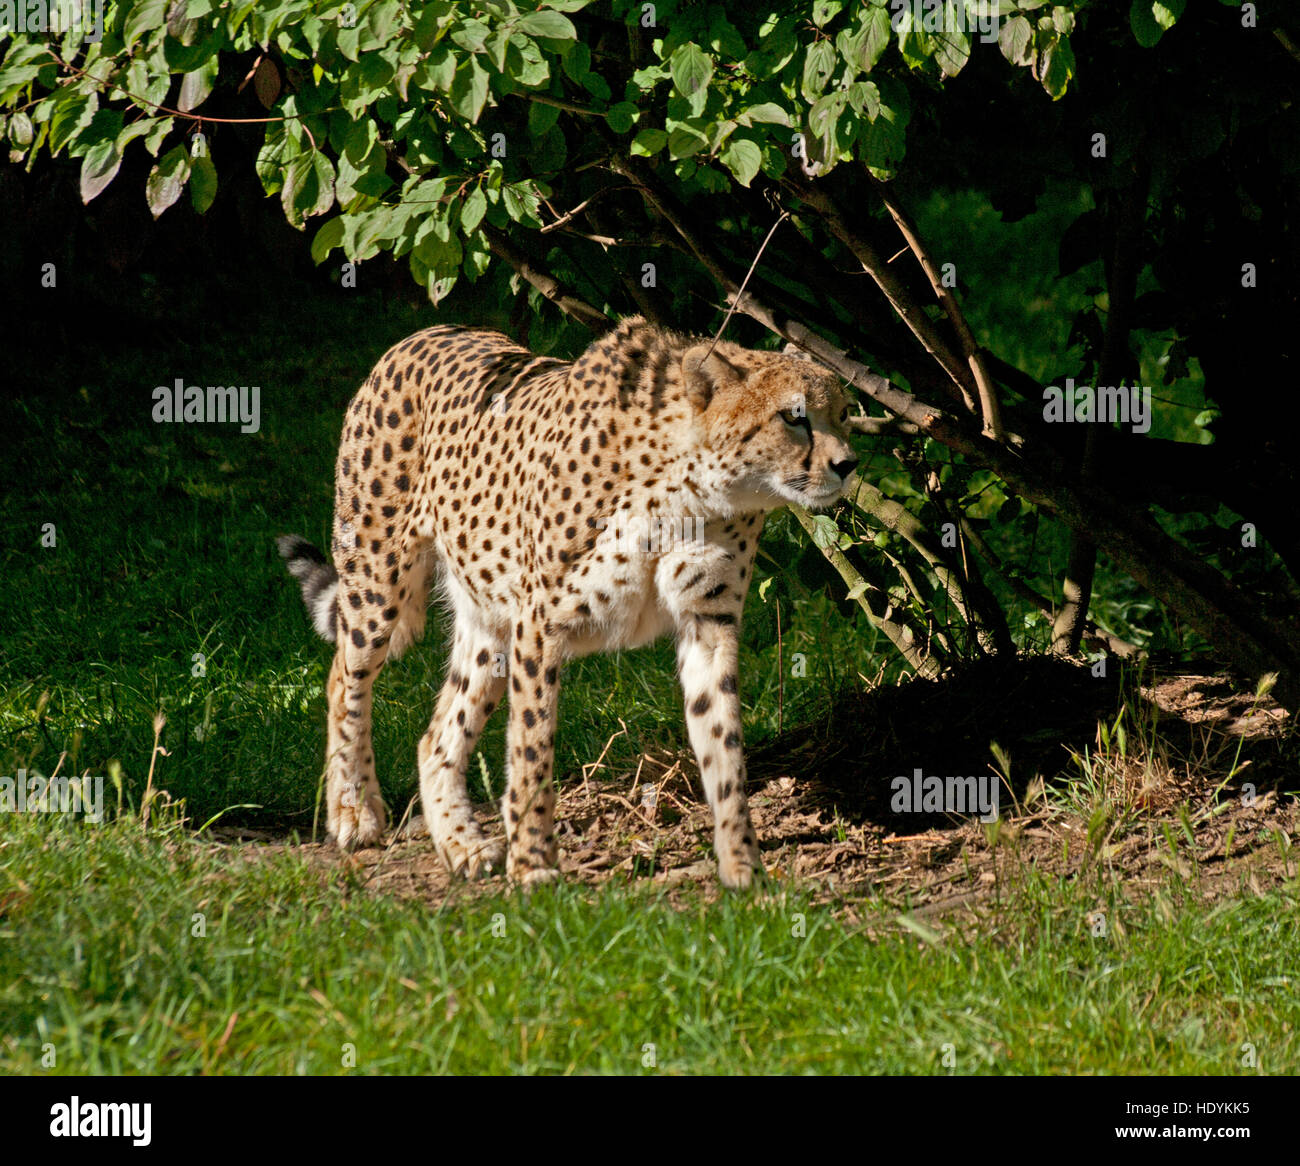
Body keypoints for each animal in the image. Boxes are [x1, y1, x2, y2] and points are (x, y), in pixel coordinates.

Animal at [278, 316, 858, 888]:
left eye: (845, 413)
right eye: (793, 417)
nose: (849, 464)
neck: (692, 487)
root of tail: (424, 333)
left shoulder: (707, 621)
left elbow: (724, 744)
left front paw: (743, 868)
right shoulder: (540, 623)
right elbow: (532, 749)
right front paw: (533, 864)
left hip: (488, 623)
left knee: (436, 734)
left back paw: (461, 841)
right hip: (380, 585)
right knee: (343, 679)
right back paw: (354, 812)